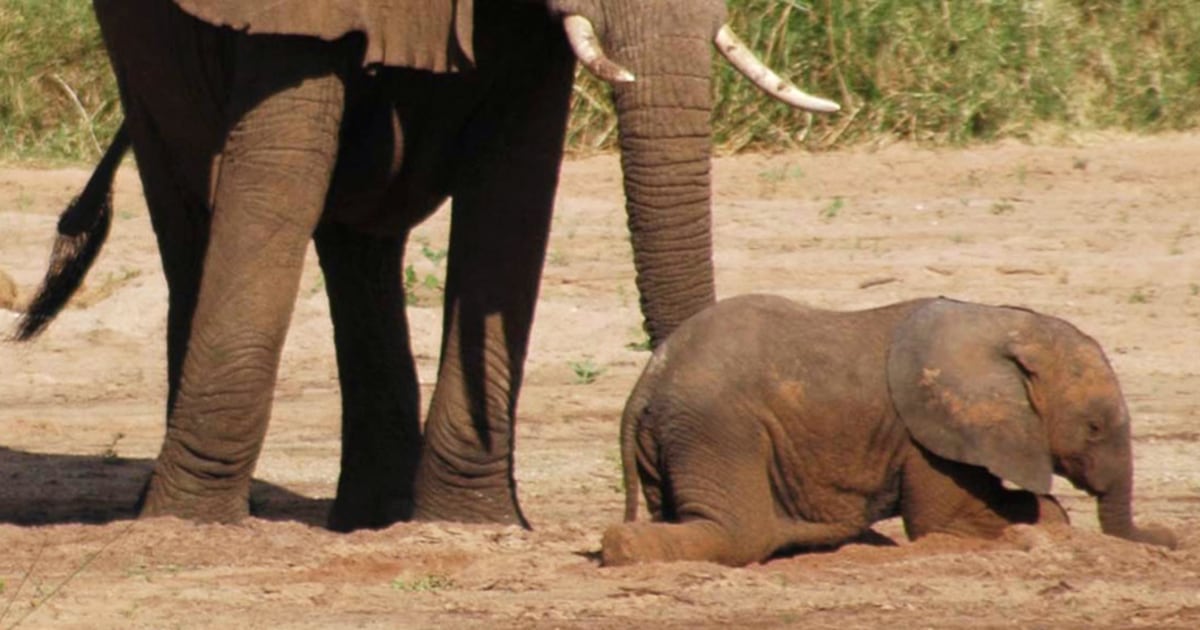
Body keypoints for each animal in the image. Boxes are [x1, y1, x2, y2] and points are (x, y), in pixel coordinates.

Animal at [13, 1, 838, 531]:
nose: (665, 507)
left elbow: (512, 194)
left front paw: (474, 525)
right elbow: (276, 180)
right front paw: (189, 531)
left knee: (357, 247)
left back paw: (372, 520)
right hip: (141, 54)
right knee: (192, 211)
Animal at [601, 294, 1177, 566]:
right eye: (1094, 427)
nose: (1169, 540)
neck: (1001, 325)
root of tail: (646, 382)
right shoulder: (929, 433)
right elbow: (947, 524)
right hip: (718, 427)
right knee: (739, 532)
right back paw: (619, 546)